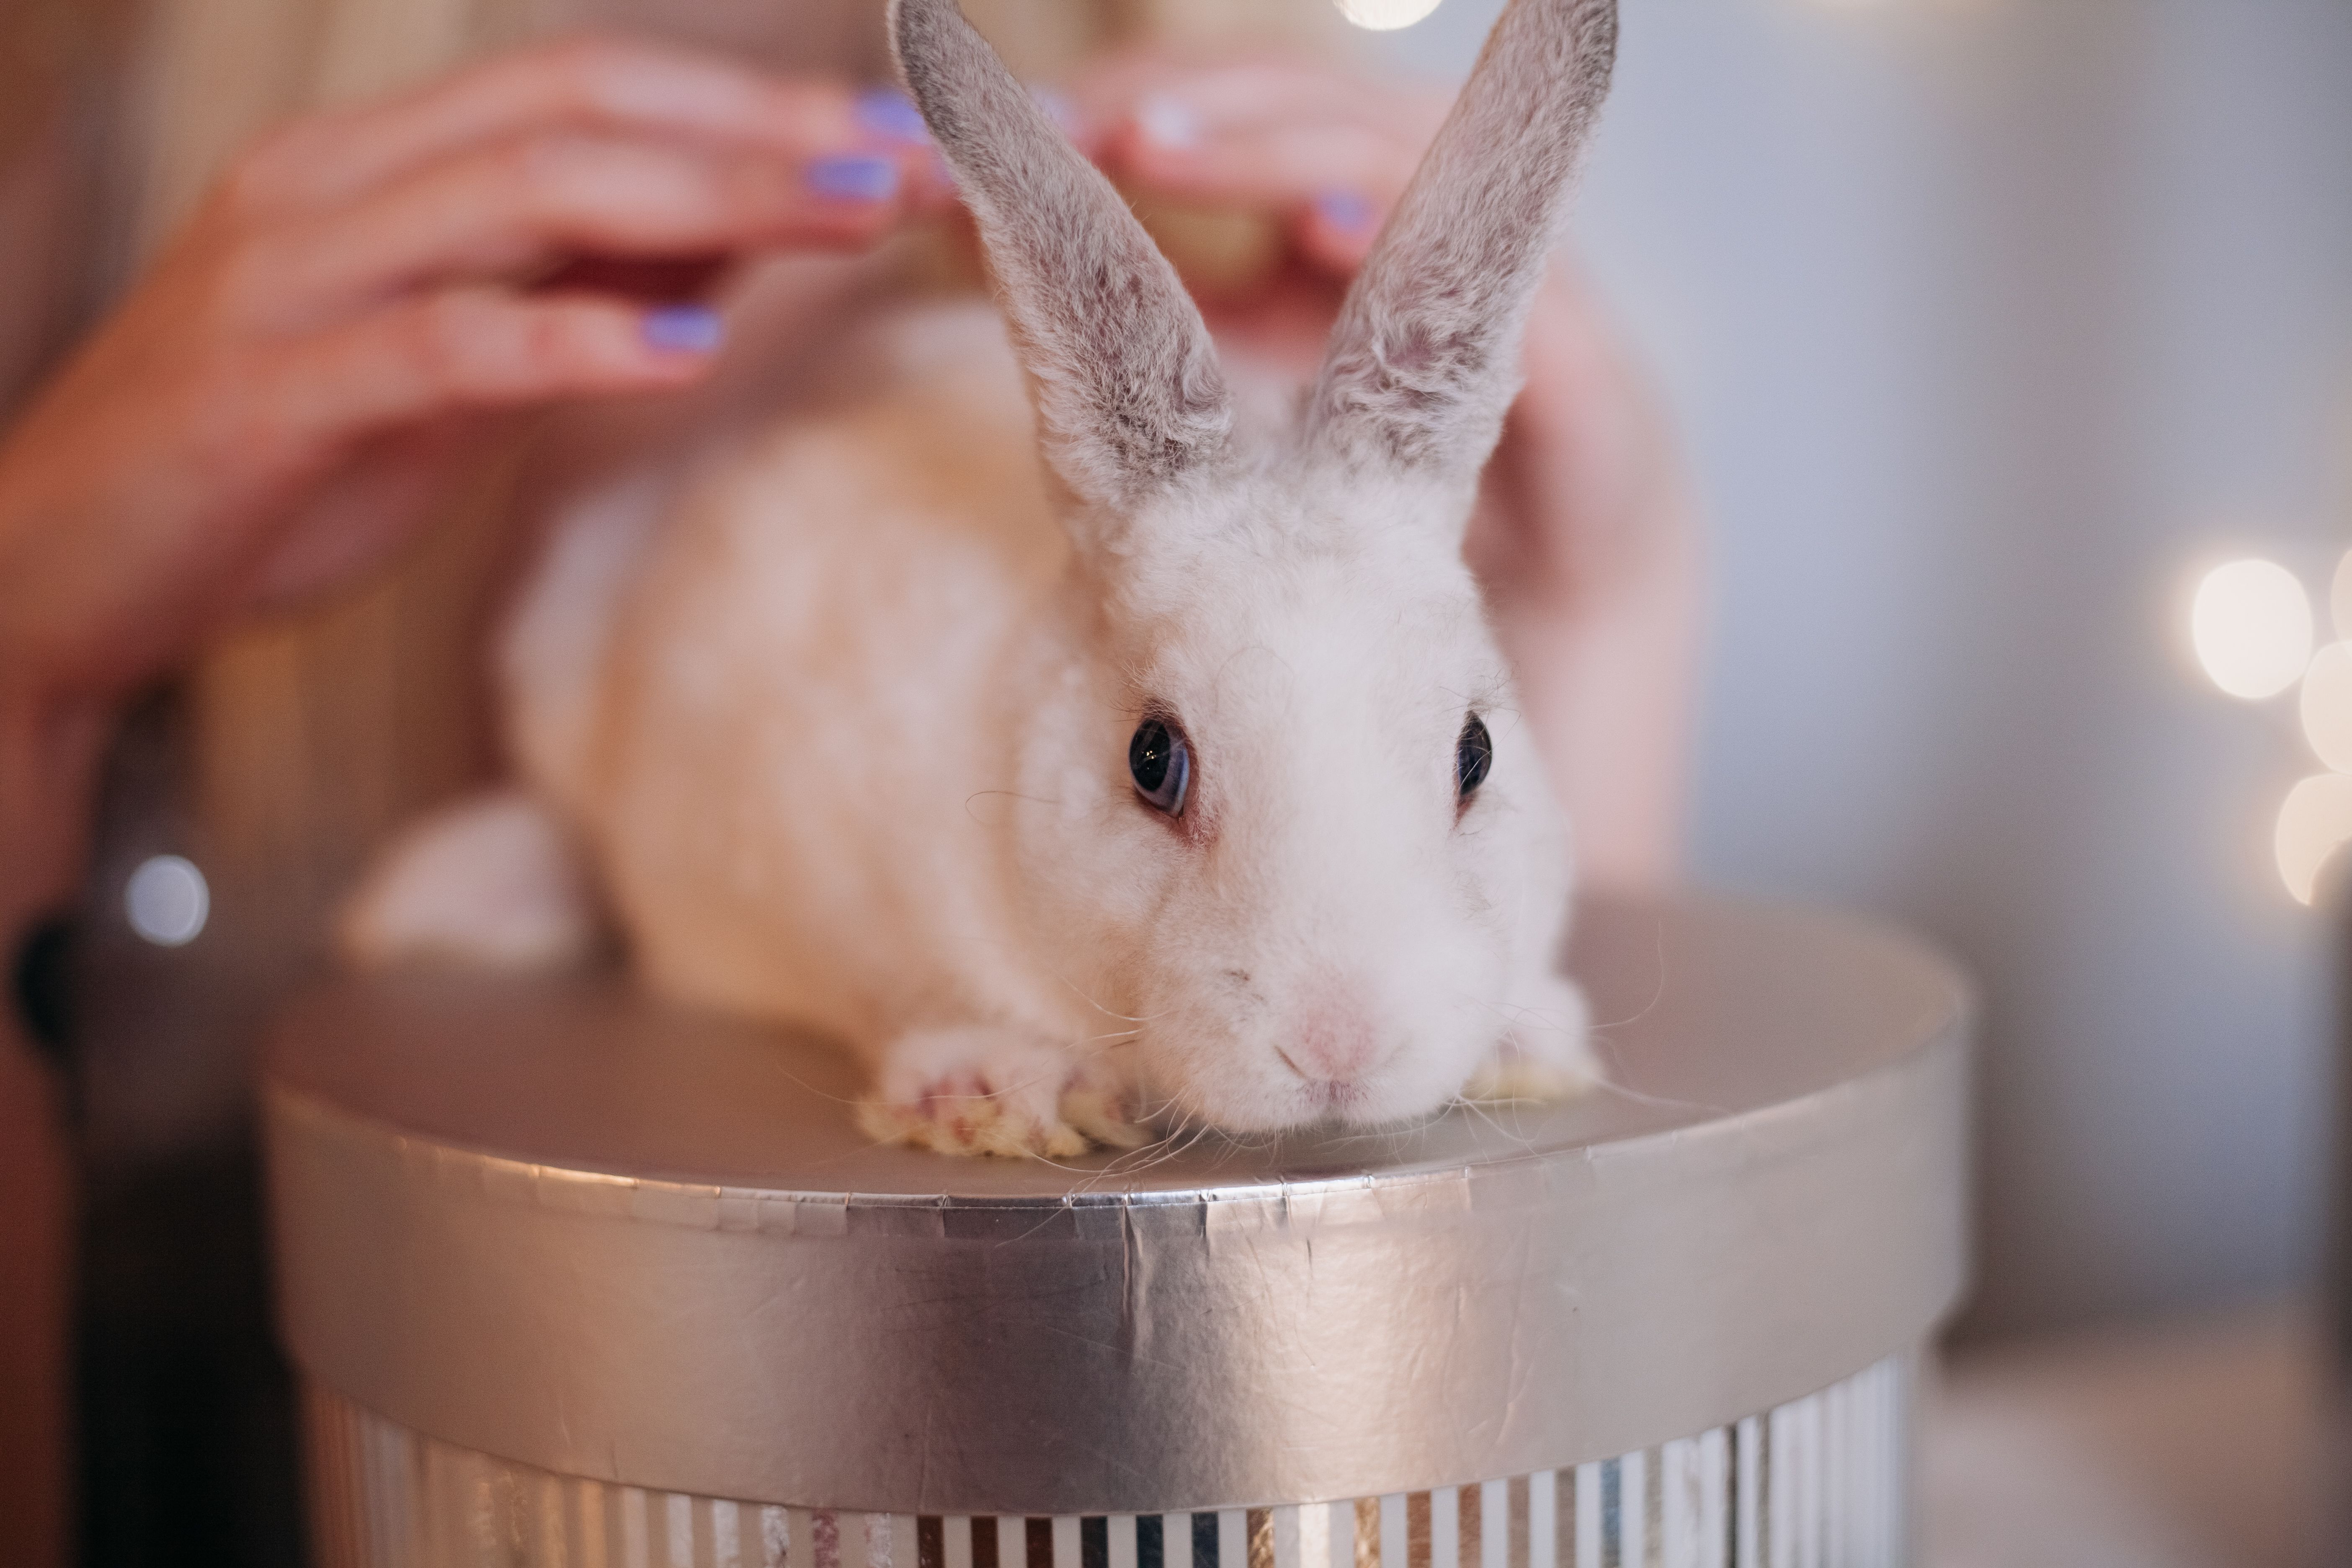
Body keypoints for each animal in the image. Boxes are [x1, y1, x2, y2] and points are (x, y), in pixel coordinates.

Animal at [342, 0, 1620, 1157]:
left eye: (1476, 753)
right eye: (1152, 761)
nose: (1339, 1048)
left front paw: (1530, 1046)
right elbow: (908, 993)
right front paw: (1000, 1091)